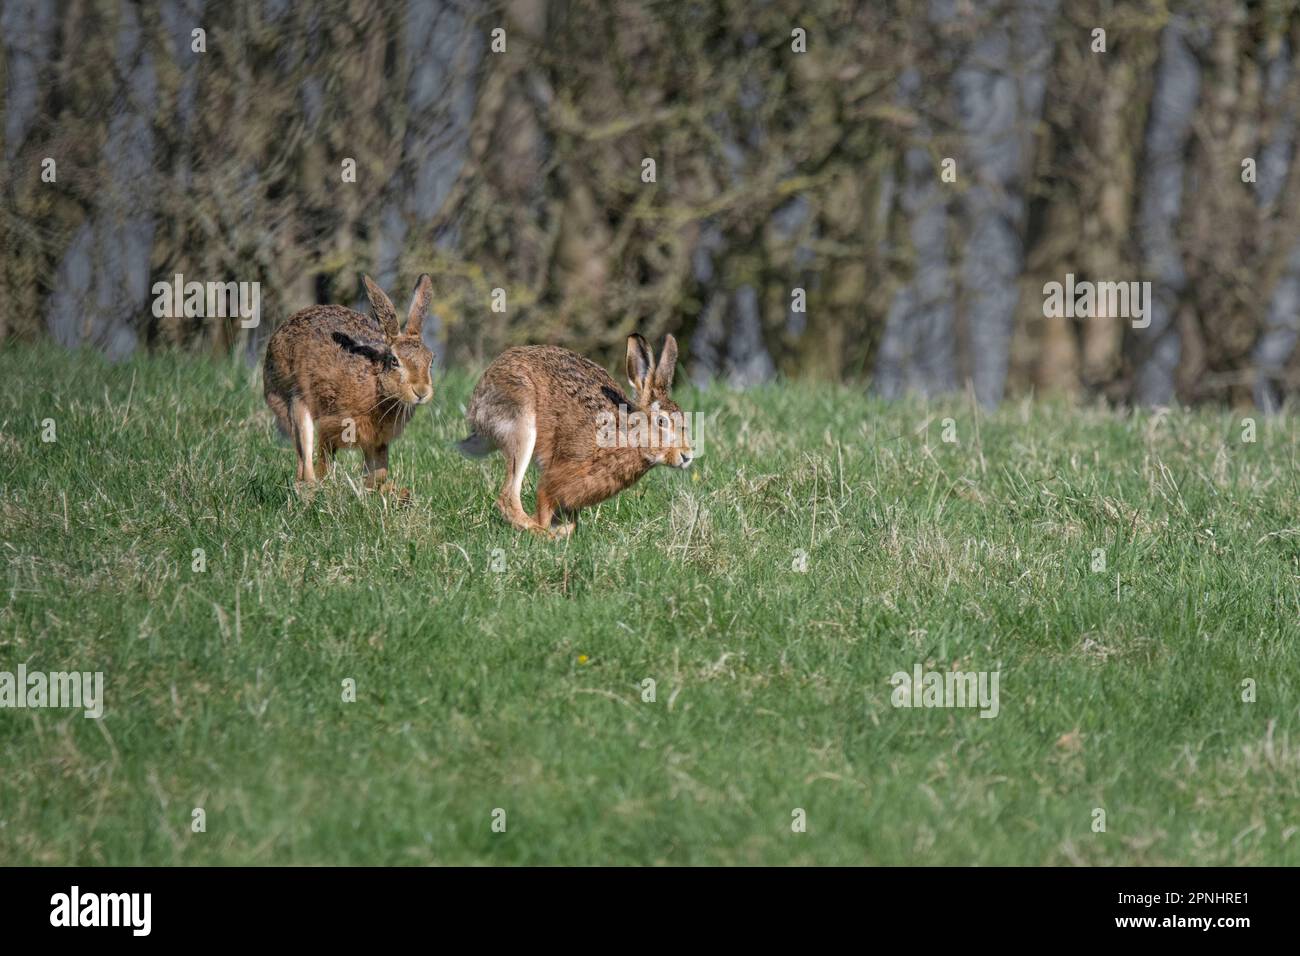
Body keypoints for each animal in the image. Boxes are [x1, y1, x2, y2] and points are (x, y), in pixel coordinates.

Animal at [263, 274, 434, 495]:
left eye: (431, 360)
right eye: (394, 361)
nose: (421, 391)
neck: (376, 385)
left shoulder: (377, 441)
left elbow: (379, 473)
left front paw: (372, 490)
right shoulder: (331, 426)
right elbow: (324, 461)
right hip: (295, 403)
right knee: (305, 460)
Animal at [458, 333, 692, 536]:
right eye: (661, 422)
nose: (687, 456)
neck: (627, 435)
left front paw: (564, 532)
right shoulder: (553, 481)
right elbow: (543, 506)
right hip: (521, 425)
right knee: (508, 499)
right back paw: (543, 535)